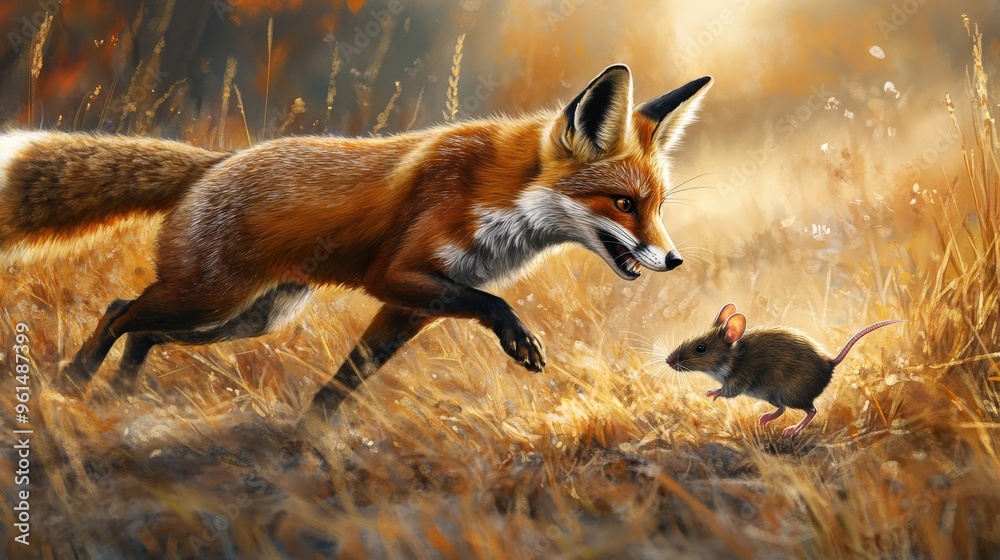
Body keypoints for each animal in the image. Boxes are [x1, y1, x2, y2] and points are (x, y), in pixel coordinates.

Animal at [0, 64, 711, 418]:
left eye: (656, 206)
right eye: (623, 204)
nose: (673, 258)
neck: (498, 199)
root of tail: (214, 162)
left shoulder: (415, 304)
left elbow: (346, 381)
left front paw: (310, 436)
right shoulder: (397, 275)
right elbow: (495, 305)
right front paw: (521, 340)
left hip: (249, 317)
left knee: (143, 331)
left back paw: (117, 397)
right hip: (207, 299)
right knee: (121, 311)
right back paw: (72, 383)